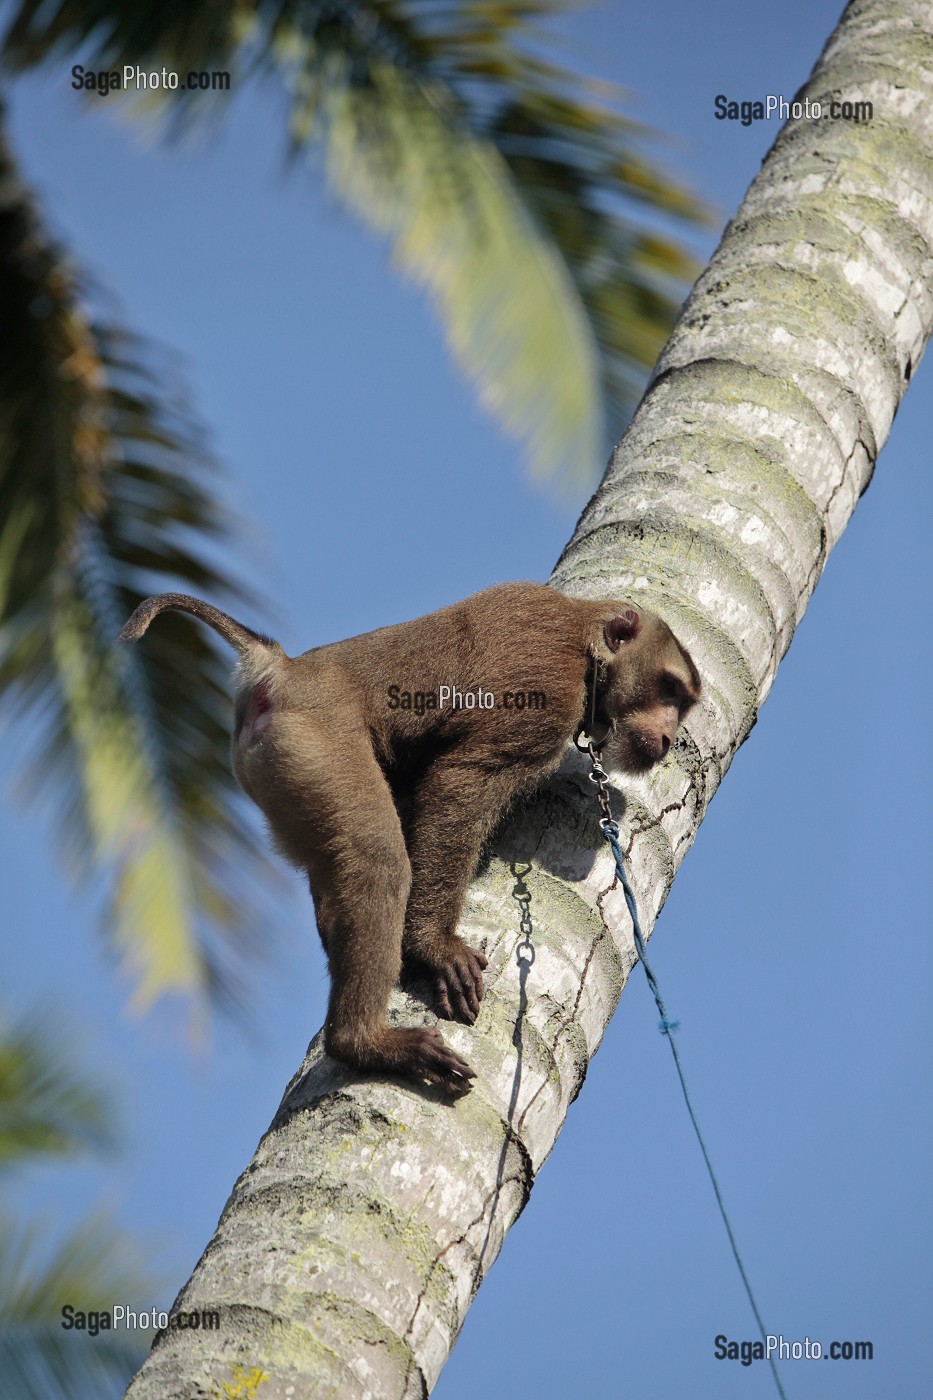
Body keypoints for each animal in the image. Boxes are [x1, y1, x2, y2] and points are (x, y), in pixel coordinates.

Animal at [118, 582, 700, 1098]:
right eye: (669, 689)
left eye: (682, 702)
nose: (668, 738)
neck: (584, 635)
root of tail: (282, 670)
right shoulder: (547, 690)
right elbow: (460, 781)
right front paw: (432, 943)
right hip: (312, 745)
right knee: (379, 859)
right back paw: (362, 1042)